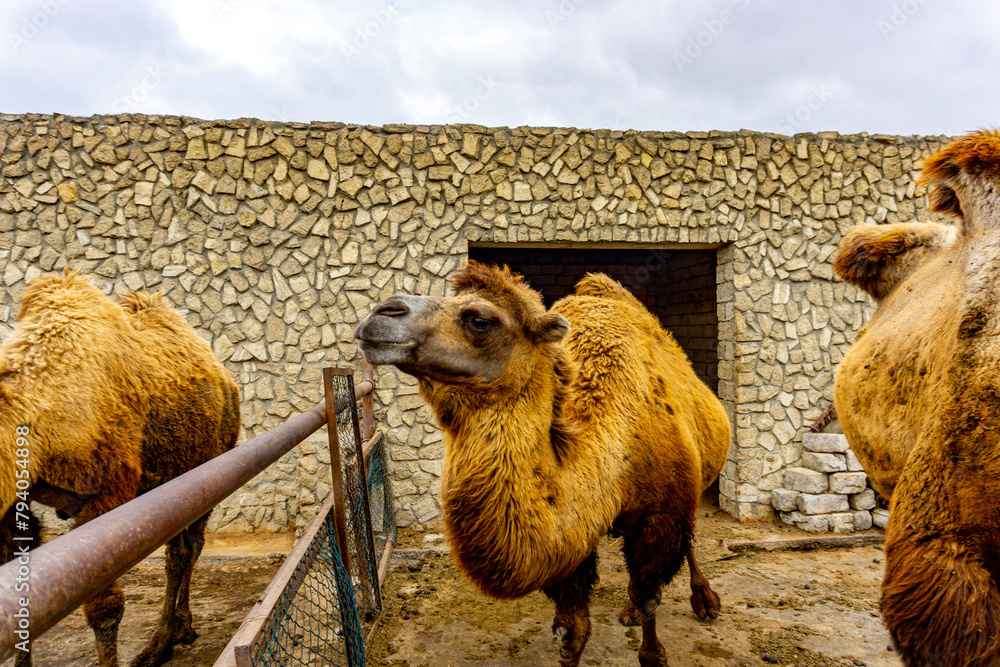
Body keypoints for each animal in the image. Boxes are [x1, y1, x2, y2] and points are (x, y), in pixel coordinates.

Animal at [0, 272, 240, 667]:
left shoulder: (107, 493)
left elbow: (105, 608)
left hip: (210, 465)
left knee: (186, 548)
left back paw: (162, 643)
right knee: (184, 547)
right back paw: (178, 630)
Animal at [355, 261, 731, 667]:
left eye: (480, 320)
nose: (381, 314)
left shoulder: (663, 517)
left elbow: (649, 601)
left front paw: (654, 650)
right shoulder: (570, 546)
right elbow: (571, 632)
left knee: (687, 545)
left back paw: (704, 600)